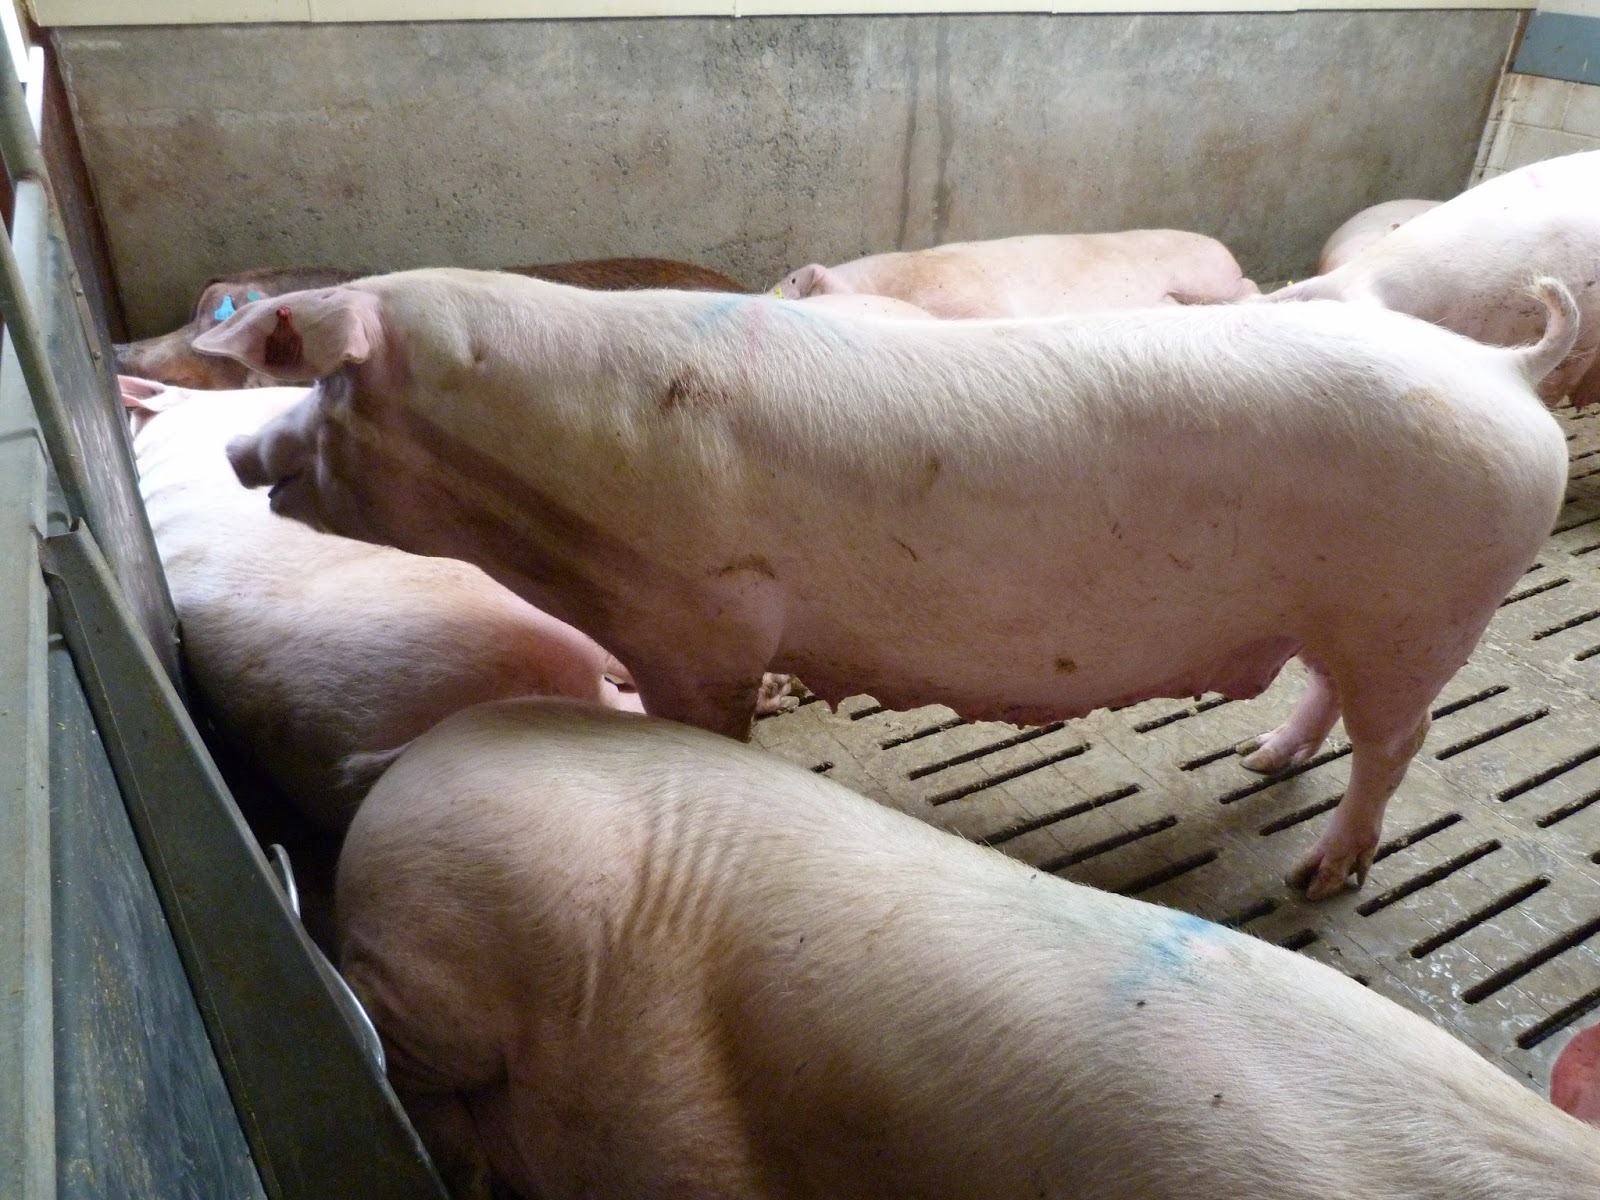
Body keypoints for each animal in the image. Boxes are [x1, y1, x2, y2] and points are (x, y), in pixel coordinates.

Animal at [205, 267, 1575, 898]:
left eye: (330, 390)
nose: (235, 453)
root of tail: (1503, 370)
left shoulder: (703, 621)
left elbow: (704, 726)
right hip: (1356, 615)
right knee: (1328, 701)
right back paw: (1260, 761)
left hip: (1424, 609)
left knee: (1394, 745)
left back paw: (1318, 875)